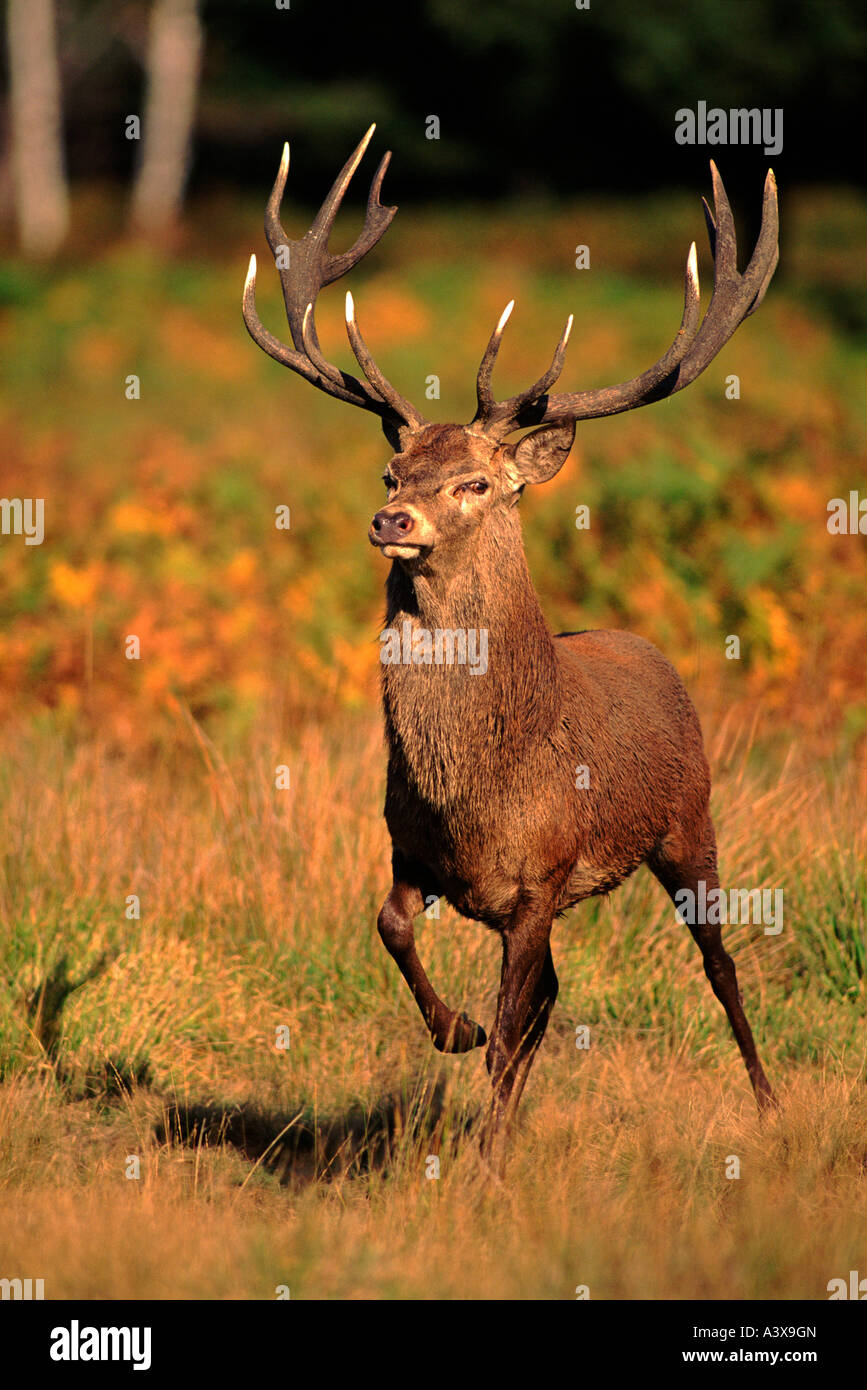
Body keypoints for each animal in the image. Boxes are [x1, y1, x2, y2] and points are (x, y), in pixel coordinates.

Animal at [243, 126, 779, 1160]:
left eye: (476, 484)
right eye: (392, 467)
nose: (391, 519)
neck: (477, 794)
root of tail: (645, 647)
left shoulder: (543, 875)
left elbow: (509, 1032)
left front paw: (485, 1161)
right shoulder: (417, 858)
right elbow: (394, 932)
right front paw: (454, 1032)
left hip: (690, 821)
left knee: (721, 963)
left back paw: (770, 1106)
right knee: (553, 994)